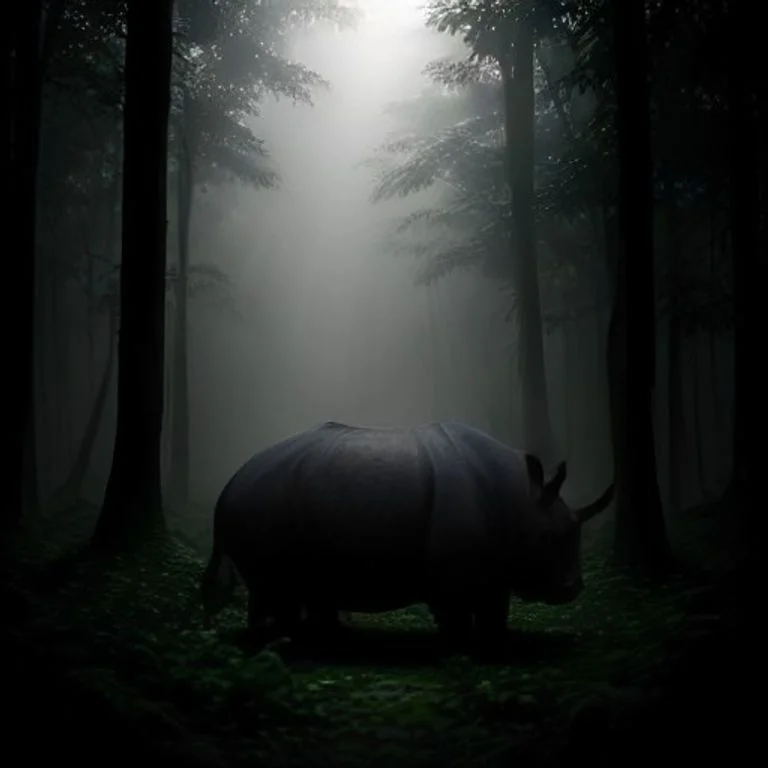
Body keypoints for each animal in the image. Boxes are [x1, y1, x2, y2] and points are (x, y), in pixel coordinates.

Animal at [201, 421, 612, 647]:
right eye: (547, 539)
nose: (573, 588)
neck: (520, 496)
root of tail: (231, 483)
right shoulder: (452, 572)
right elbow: (456, 615)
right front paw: (461, 648)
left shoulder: (498, 562)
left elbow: (496, 608)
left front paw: (497, 642)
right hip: (261, 500)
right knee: (276, 584)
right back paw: (296, 642)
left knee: (298, 583)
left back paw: (320, 637)